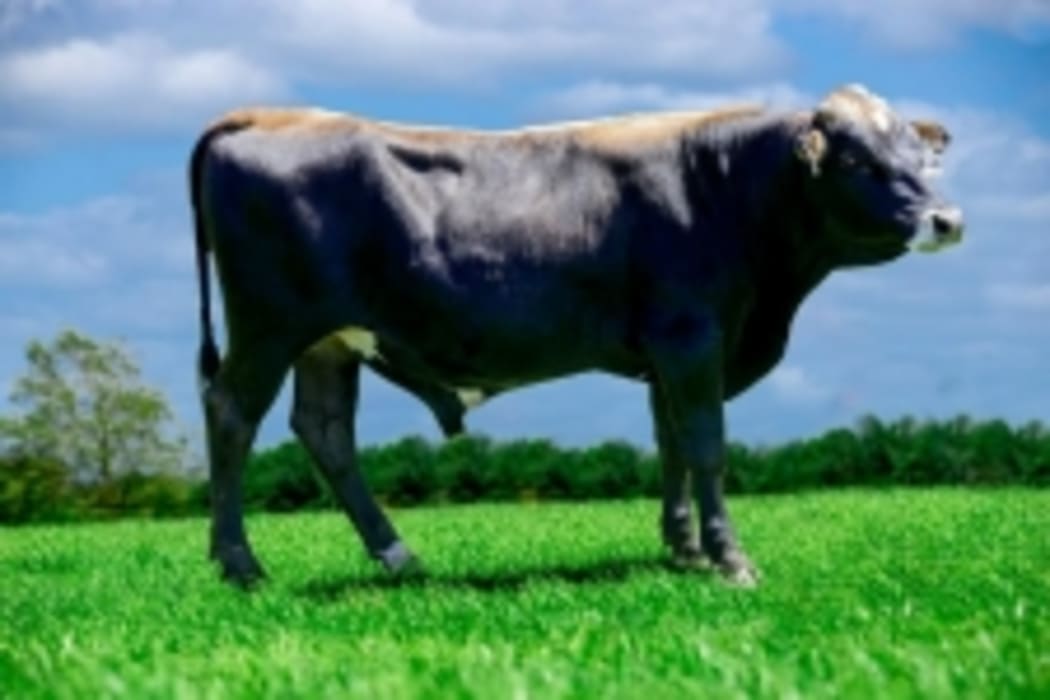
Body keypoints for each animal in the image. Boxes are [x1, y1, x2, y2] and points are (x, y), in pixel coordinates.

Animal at [190, 84, 963, 588]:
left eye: (923, 159)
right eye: (858, 161)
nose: (948, 220)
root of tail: (261, 114)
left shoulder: (667, 353)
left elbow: (671, 447)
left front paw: (683, 549)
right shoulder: (692, 336)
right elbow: (706, 447)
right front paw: (730, 559)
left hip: (327, 342)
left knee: (324, 432)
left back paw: (397, 556)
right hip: (268, 326)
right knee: (233, 414)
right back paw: (241, 564)